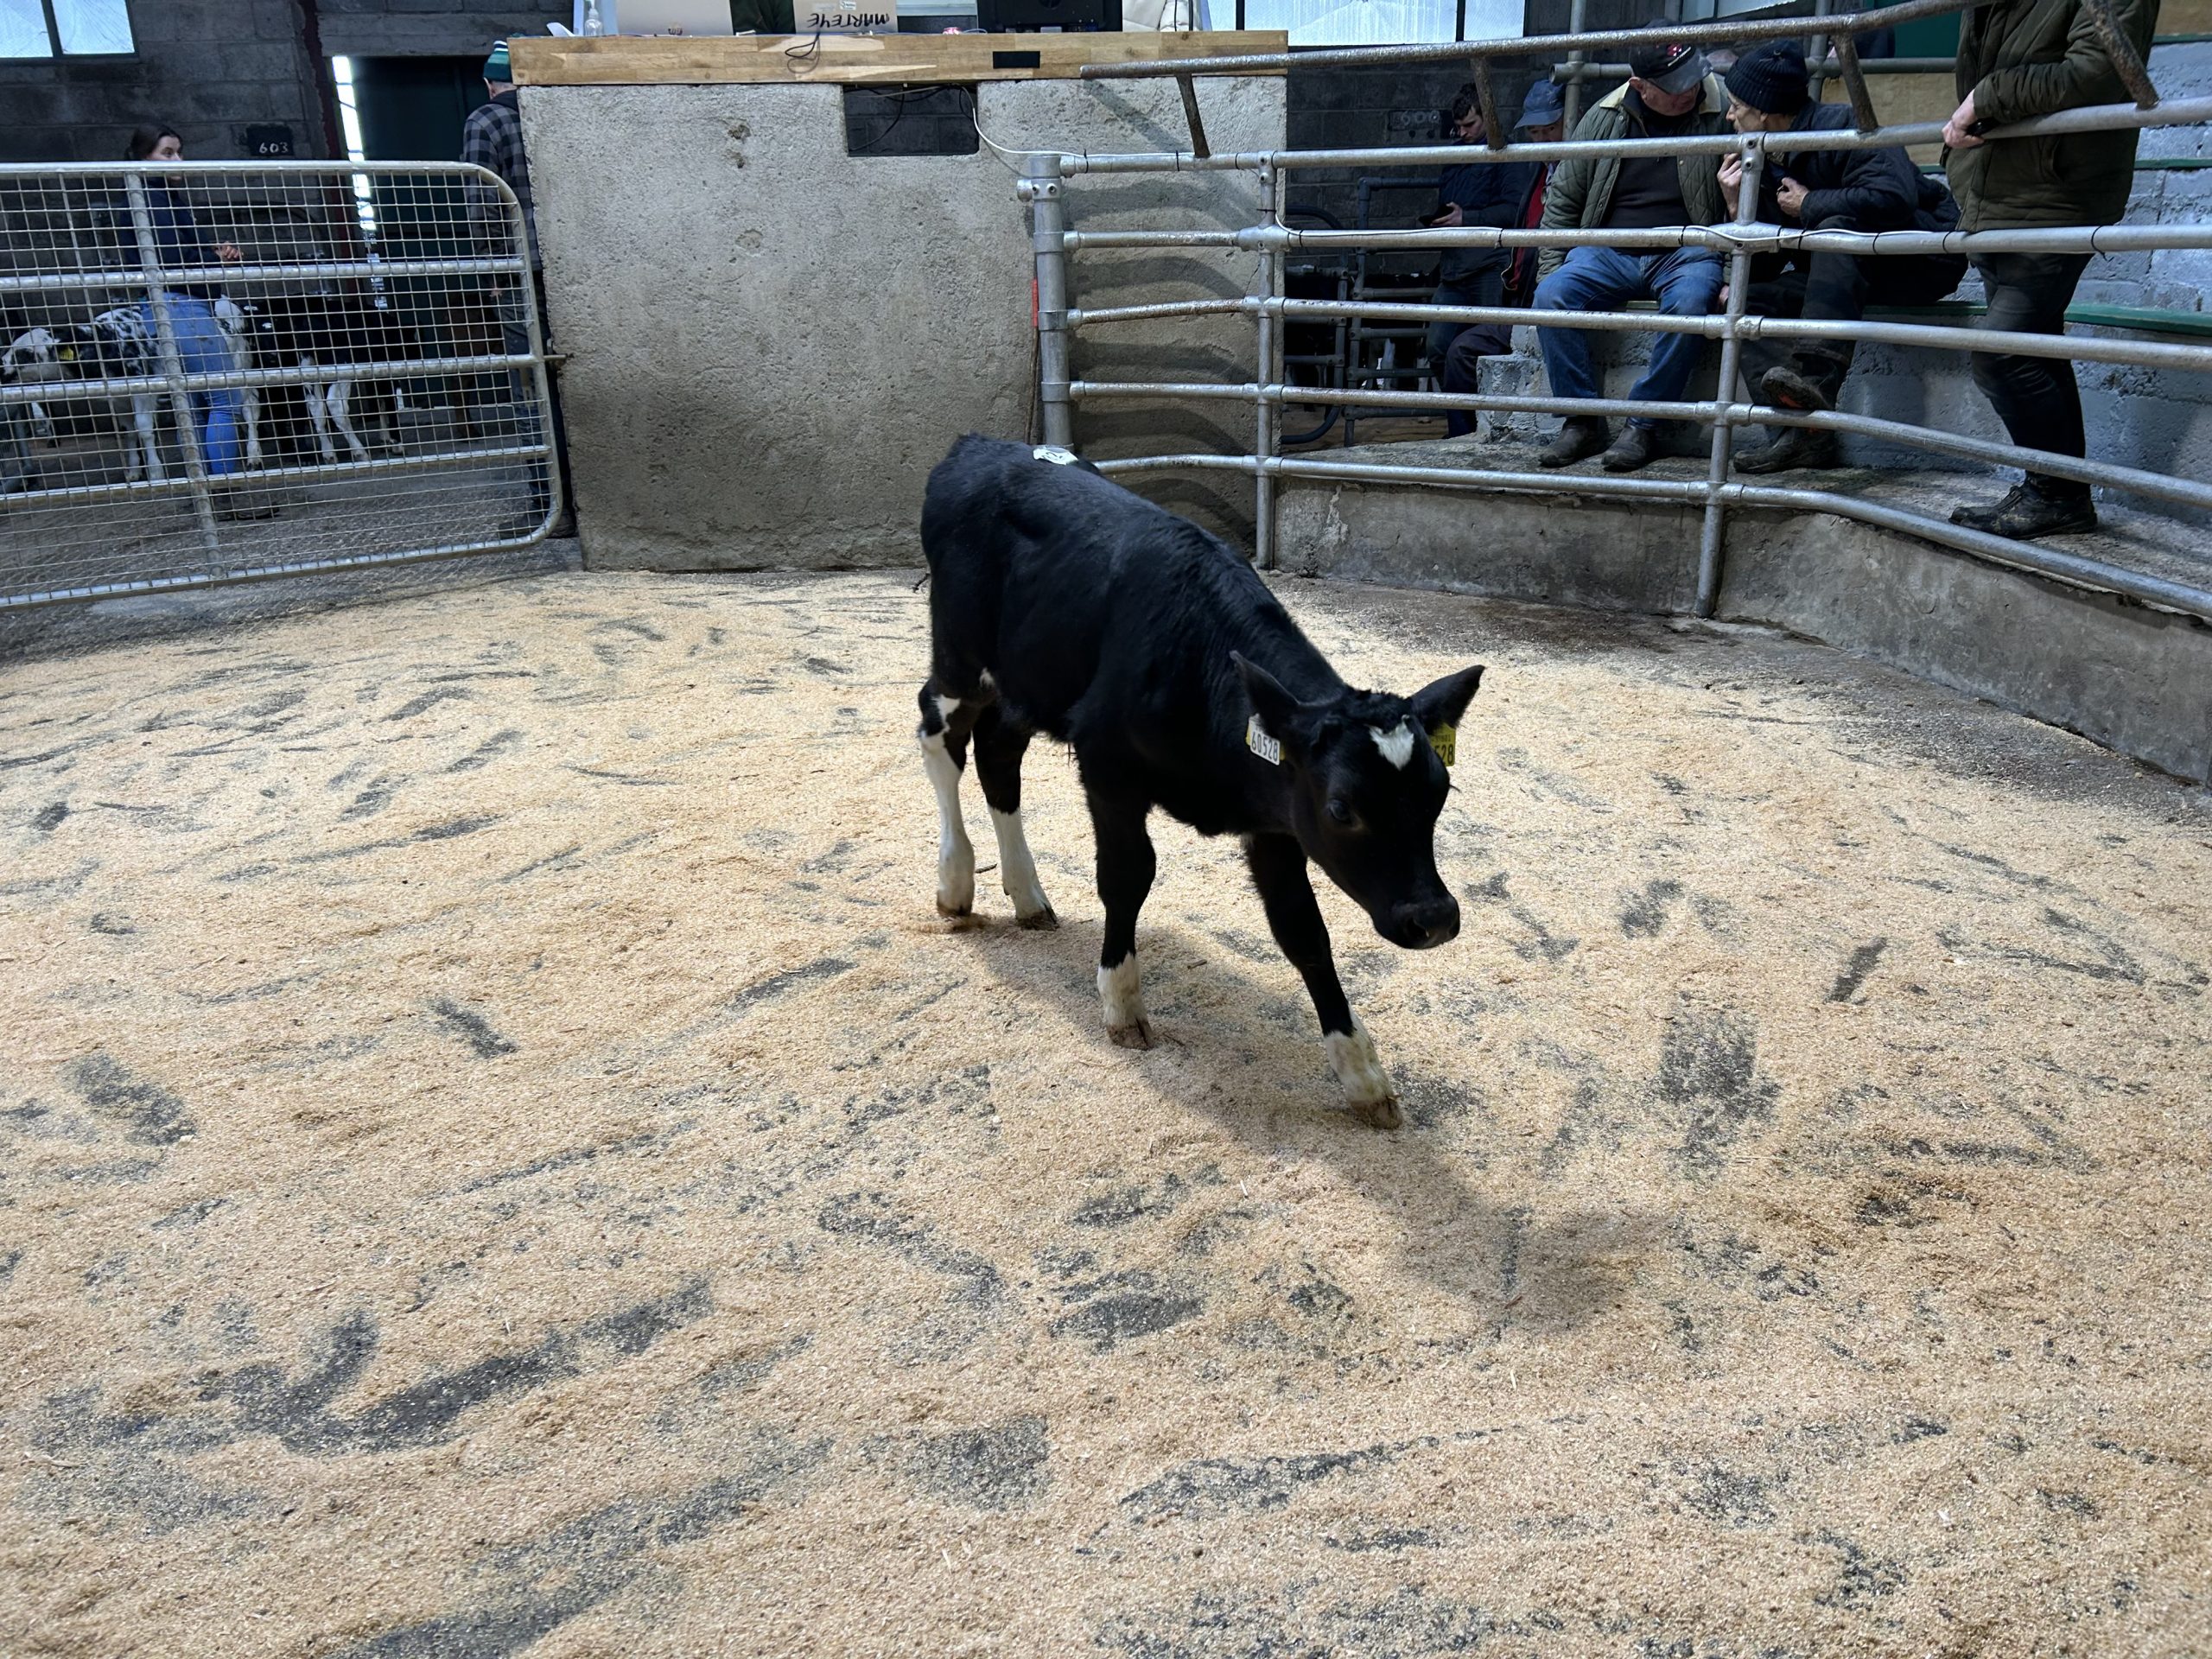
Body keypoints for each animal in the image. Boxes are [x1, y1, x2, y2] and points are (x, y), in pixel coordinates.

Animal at [916, 434, 1484, 1128]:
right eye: (1343, 809)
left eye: (1440, 794)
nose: (1434, 918)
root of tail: (979, 446)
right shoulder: (1108, 768)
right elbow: (1127, 877)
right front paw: (1122, 1003)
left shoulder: (1276, 818)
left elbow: (1303, 930)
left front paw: (1361, 1074)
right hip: (959, 656)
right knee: (938, 733)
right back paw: (956, 882)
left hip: (1026, 680)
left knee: (999, 754)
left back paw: (1027, 895)